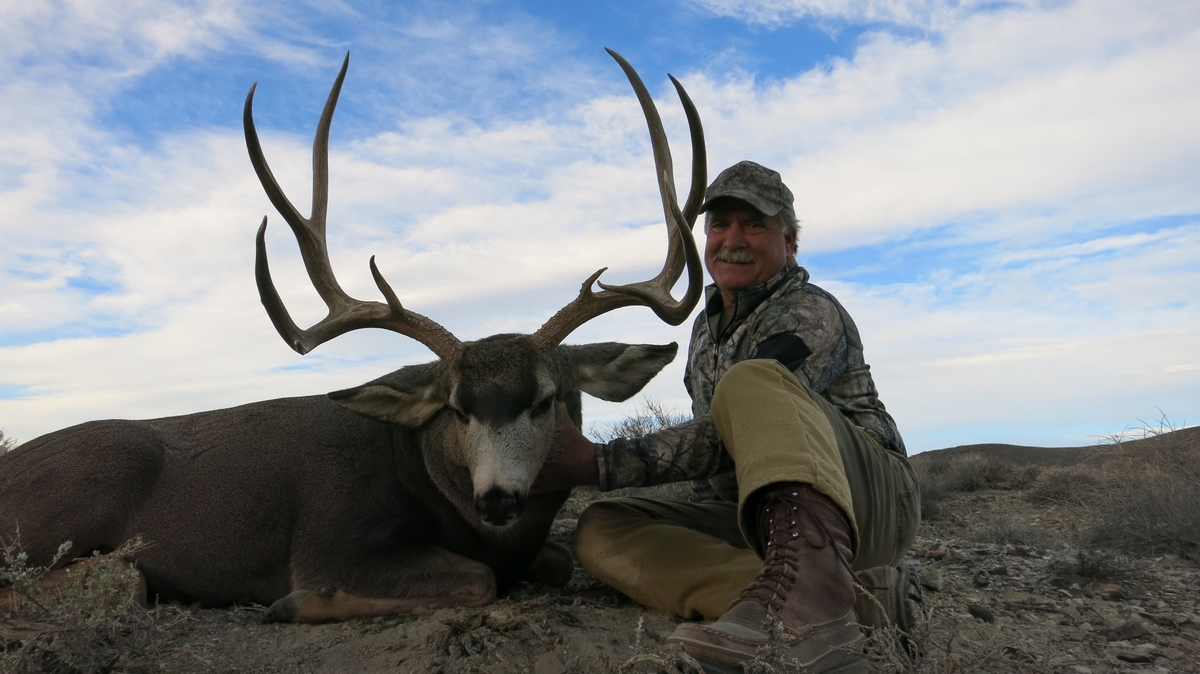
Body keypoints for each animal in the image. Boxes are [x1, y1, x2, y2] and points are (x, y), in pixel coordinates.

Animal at [0, 50, 706, 623]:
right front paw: (297, 603)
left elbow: (554, 561)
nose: (498, 498)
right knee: (108, 580)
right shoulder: (332, 538)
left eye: (545, 400)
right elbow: (477, 579)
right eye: (457, 408)